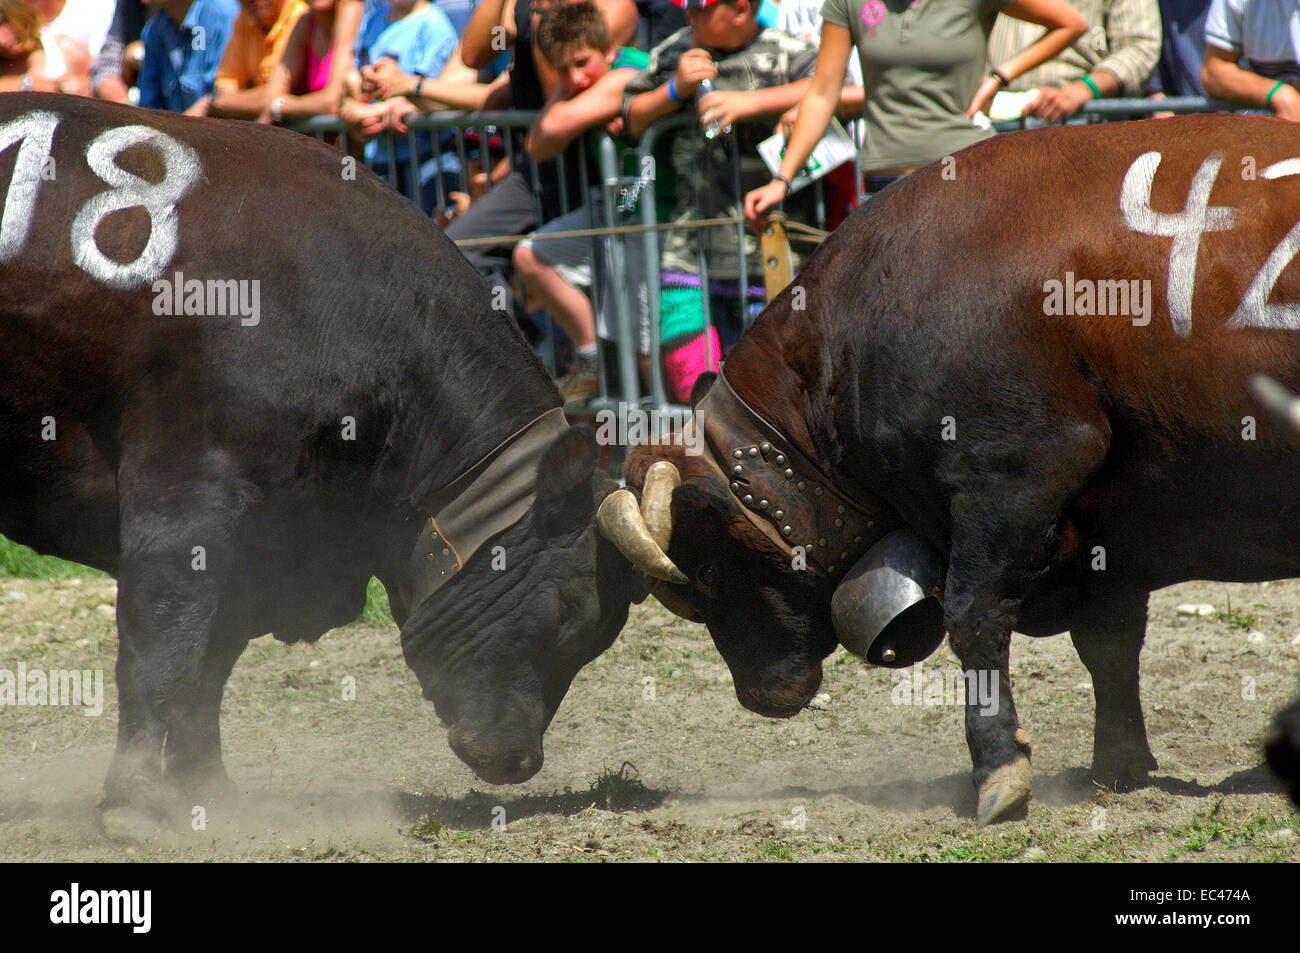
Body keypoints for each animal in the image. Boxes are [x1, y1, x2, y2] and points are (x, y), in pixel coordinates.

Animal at [0, 94, 645, 838]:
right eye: (570, 607)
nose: (518, 759)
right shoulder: (184, 499)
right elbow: (163, 649)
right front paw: (134, 802)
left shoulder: (262, 539)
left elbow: (209, 667)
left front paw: (207, 788)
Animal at [606, 114, 1300, 824]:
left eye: (709, 569)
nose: (758, 694)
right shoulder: (1109, 523)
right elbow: (1108, 642)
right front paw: (1118, 764)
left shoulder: (1014, 473)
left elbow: (974, 617)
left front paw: (1000, 771)